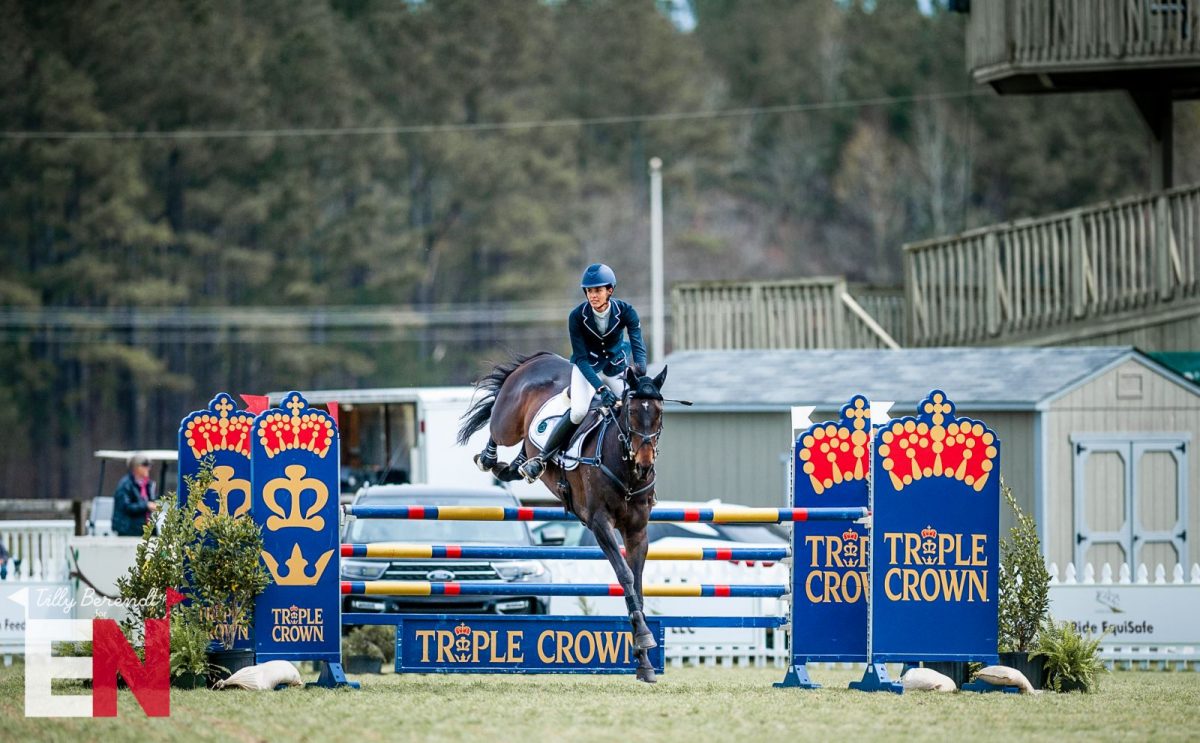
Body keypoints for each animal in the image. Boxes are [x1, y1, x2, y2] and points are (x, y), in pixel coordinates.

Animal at [457, 352, 667, 683]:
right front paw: (644, 640)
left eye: (659, 413)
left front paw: (643, 660)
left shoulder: (637, 531)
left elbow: (638, 584)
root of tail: (539, 359)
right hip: (508, 420)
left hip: (528, 446)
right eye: (631, 411)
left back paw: (521, 467)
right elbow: (625, 576)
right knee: (496, 429)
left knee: (521, 460)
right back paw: (488, 458)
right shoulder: (599, 523)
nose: (645, 464)